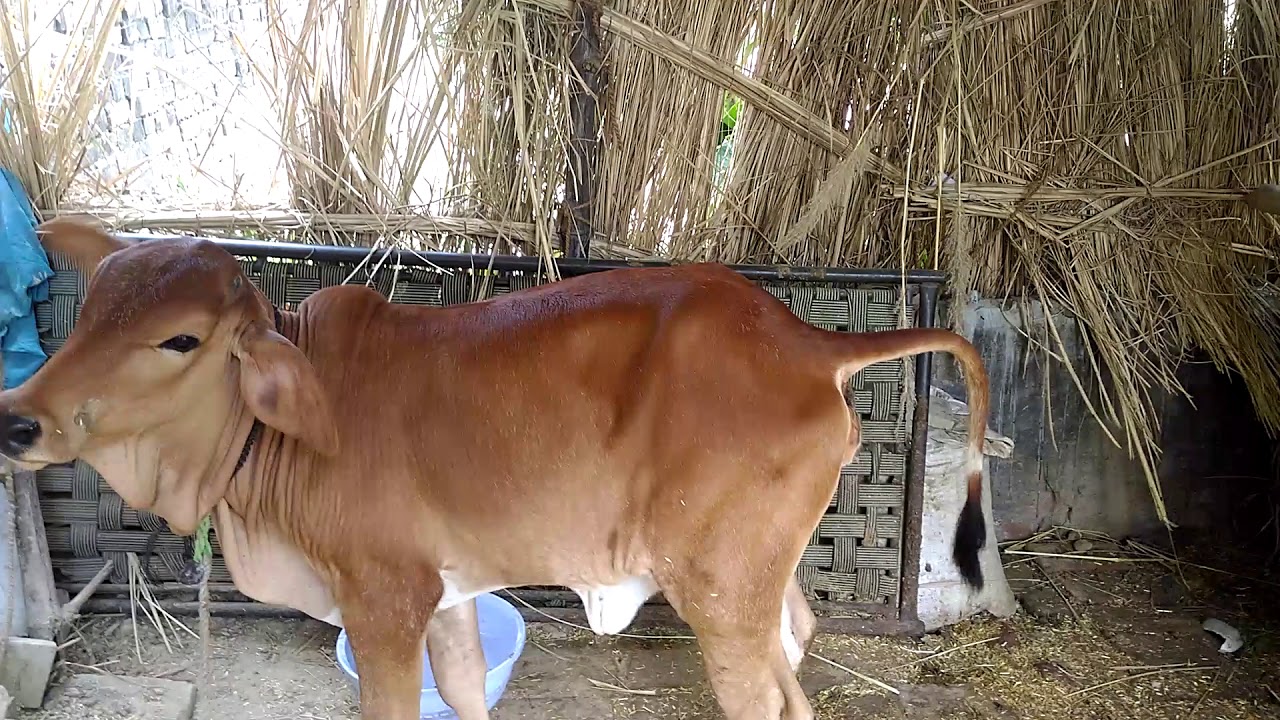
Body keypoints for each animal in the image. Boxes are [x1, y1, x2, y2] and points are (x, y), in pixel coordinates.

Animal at [0, 216, 990, 720]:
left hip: (720, 597)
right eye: (89, 311)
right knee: (801, 635)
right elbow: (467, 694)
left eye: (182, 339)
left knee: (771, 701)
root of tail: (807, 340)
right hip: (759, 585)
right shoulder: (447, 596)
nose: (18, 420)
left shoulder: (383, 602)